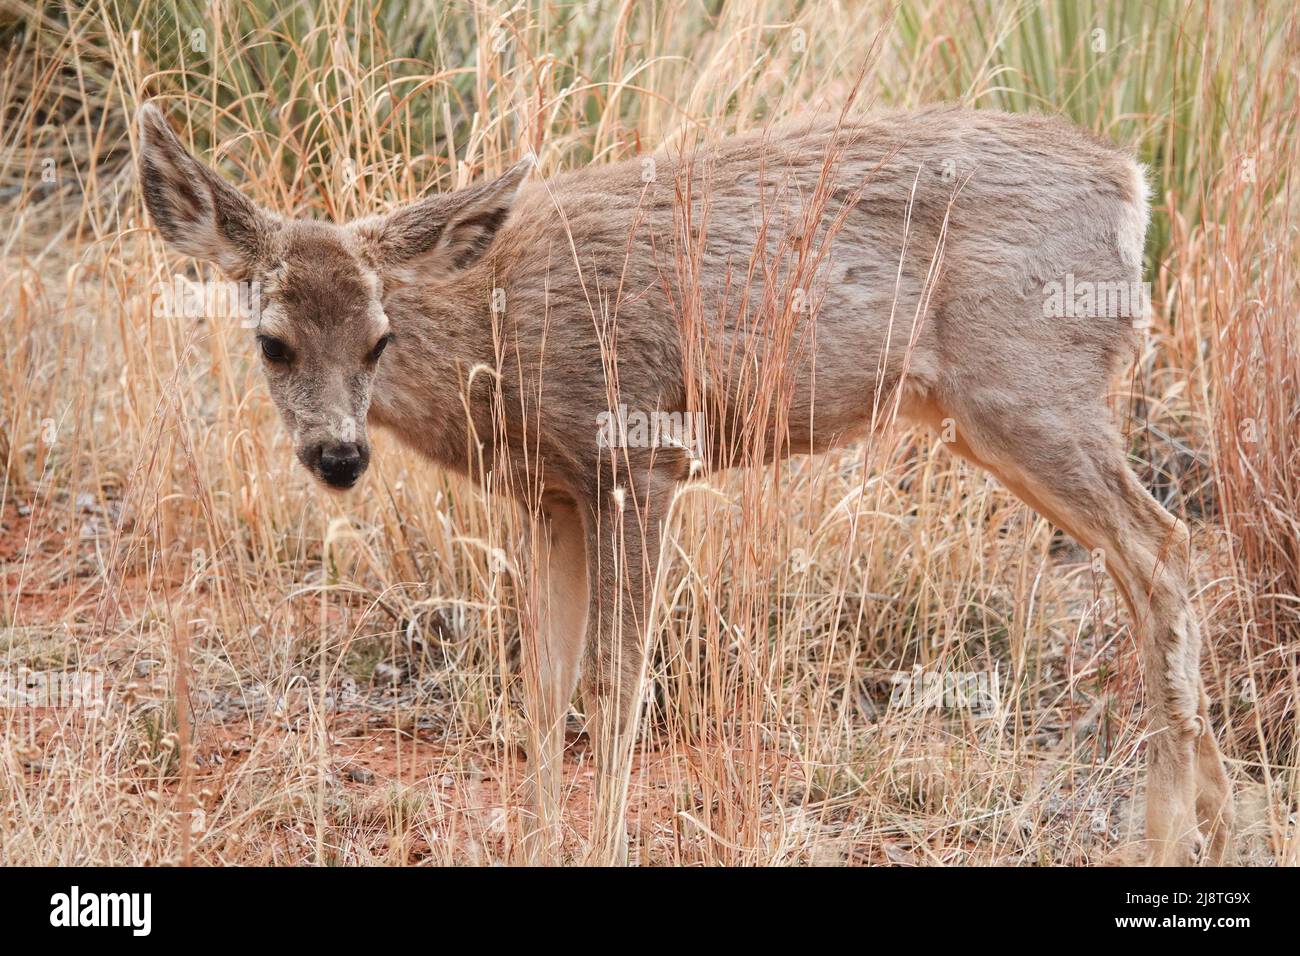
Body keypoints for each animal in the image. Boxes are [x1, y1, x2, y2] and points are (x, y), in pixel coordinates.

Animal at [137, 101, 1233, 866]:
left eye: (378, 337)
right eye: (272, 343)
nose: (339, 456)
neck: (494, 335)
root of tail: (1131, 183)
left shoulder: (637, 456)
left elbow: (619, 681)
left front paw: (601, 845)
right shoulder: (550, 493)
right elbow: (541, 683)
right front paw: (540, 843)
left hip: (1031, 388)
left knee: (1163, 545)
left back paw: (1163, 837)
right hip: (995, 416)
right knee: (1143, 562)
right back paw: (1217, 818)